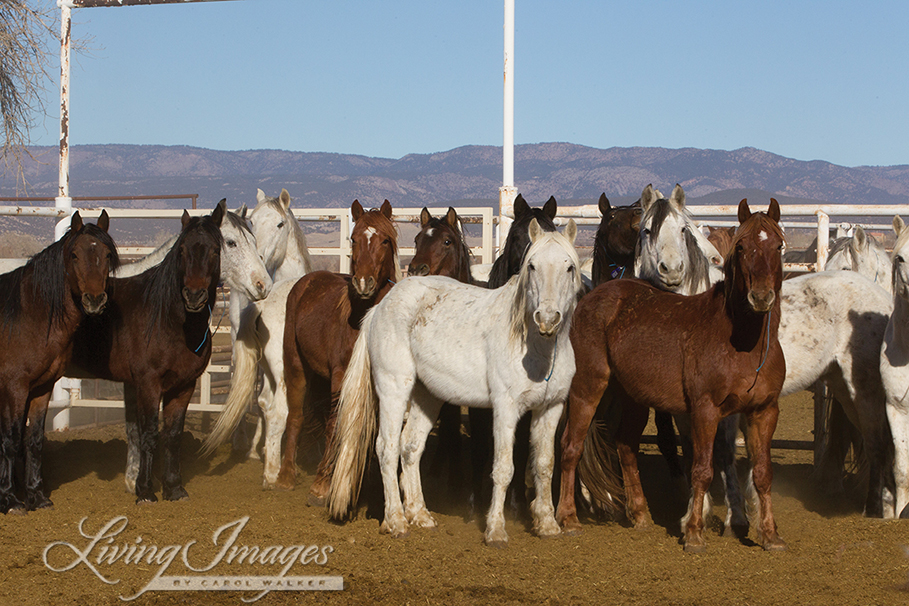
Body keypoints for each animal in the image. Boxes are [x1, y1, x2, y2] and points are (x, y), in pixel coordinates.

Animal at [0, 211, 117, 513]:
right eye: (74, 255)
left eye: (107, 254)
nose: (94, 300)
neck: (29, 315)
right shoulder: (14, 388)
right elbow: (10, 439)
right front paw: (10, 500)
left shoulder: (41, 388)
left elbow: (33, 440)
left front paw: (36, 496)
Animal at [49, 203, 224, 504]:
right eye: (182, 250)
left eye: (215, 249)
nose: (194, 296)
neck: (167, 319)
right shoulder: (148, 383)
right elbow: (149, 433)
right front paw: (145, 491)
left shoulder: (184, 385)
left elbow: (173, 435)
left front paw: (174, 489)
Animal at [203, 200, 400, 502]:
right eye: (353, 239)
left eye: (385, 240)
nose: (363, 283)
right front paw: (323, 482)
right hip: (290, 369)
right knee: (284, 412)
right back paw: (278, 474)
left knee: (265, 404)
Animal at [329, 218, 582, 547]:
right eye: (533, 266)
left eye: (569, 267)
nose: (547, 318)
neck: (539, 348)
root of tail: (379, 308)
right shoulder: (505, 408)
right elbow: (503, 467)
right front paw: (495, 530)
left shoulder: (550, 408)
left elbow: (544, 464)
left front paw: (548, 524)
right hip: (393, 388)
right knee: (386, 447)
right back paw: (396, 520)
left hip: (426, 396)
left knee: (410, 447)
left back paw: (420, 515)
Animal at [558, 199, 787, 553]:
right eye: (741, 246)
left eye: (778, 246)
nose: (761, 297)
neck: (740, 340)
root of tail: (593, 297)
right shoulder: (705, 410)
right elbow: (702, 469)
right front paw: (693, 532)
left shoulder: (764, 411)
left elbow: (763, 472)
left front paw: (771, 535)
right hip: (588, 388)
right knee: (571, 446)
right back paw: (568, 519)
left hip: (633, 397)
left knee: (625, 446)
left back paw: (639, 514)